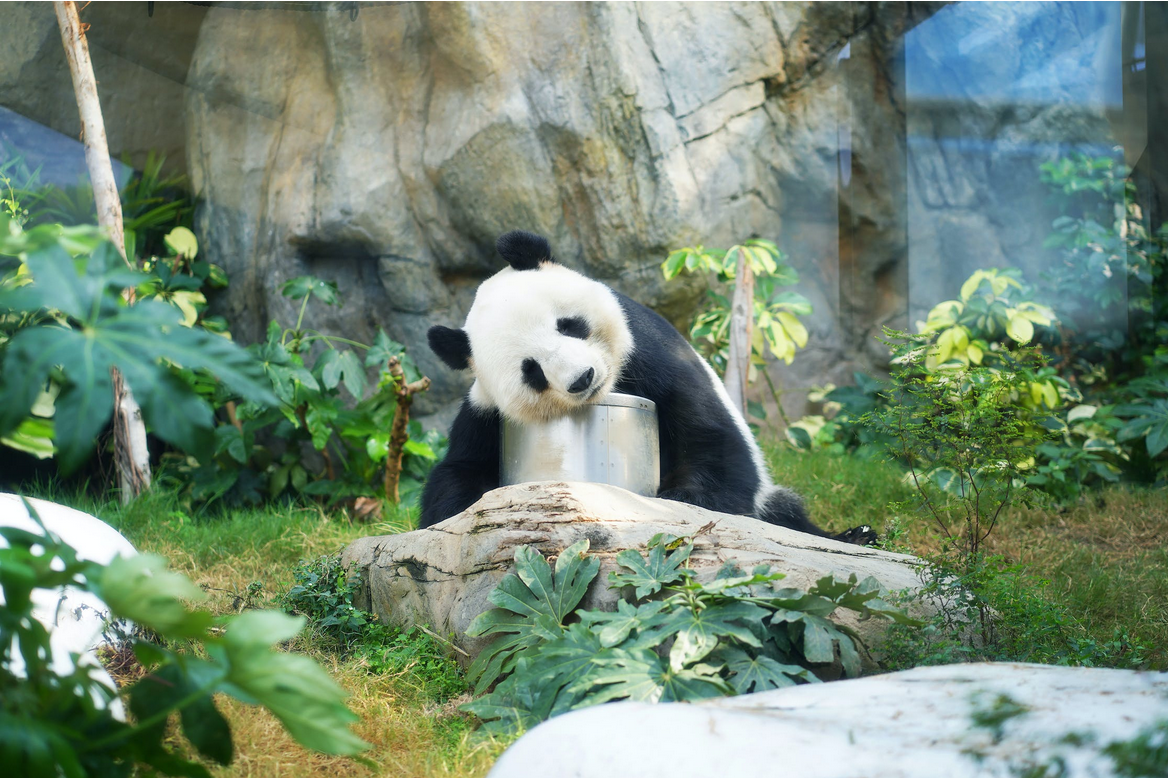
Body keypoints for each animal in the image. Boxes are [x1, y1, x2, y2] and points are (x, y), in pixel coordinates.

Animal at [420, 230, 874, 544]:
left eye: (568, 325)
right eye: (532, 371)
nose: (583, 378)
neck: (612, 384)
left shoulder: (652, 352)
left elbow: (711, 439)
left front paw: (681, 499)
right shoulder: (485, 410)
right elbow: (457, 474)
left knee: (785, 513)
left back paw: (856, 535)